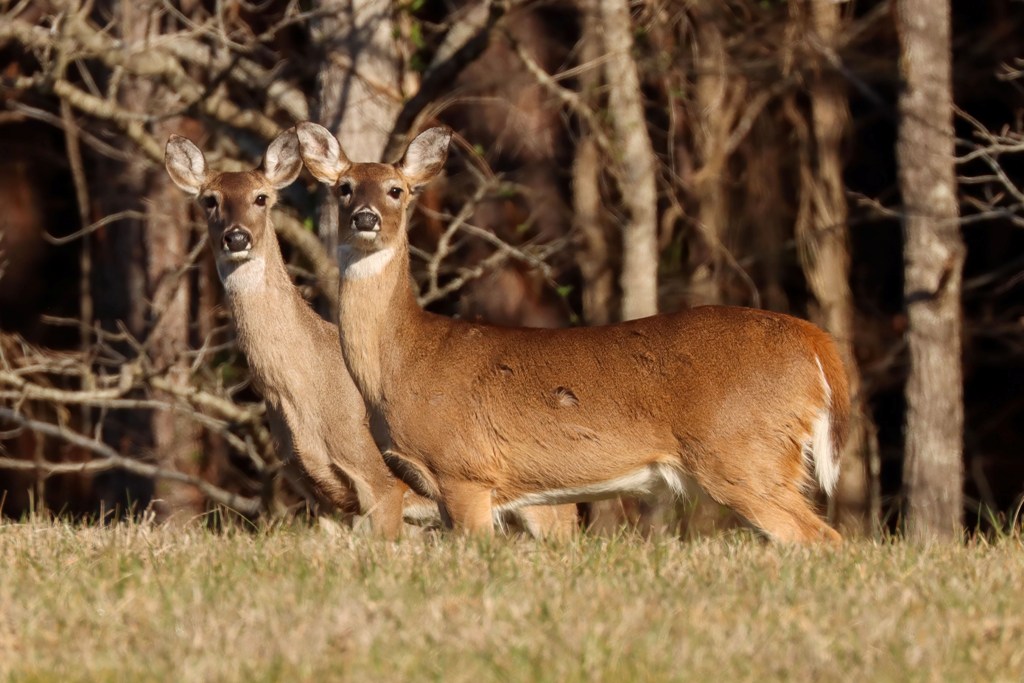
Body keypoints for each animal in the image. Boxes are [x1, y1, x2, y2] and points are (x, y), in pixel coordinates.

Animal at [164, 129, 576, 539]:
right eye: (210, 200)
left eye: (261, 198)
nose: (237, 238)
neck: (303, 395)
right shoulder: (318, 495)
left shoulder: (382, 481)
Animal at [296, 121, 851, 544]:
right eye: (344, 188)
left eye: (398, 190)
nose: (366, 218)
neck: (405, 360)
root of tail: (814, 342)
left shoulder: (465, 471)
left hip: (745, 453)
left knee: (823, 539)